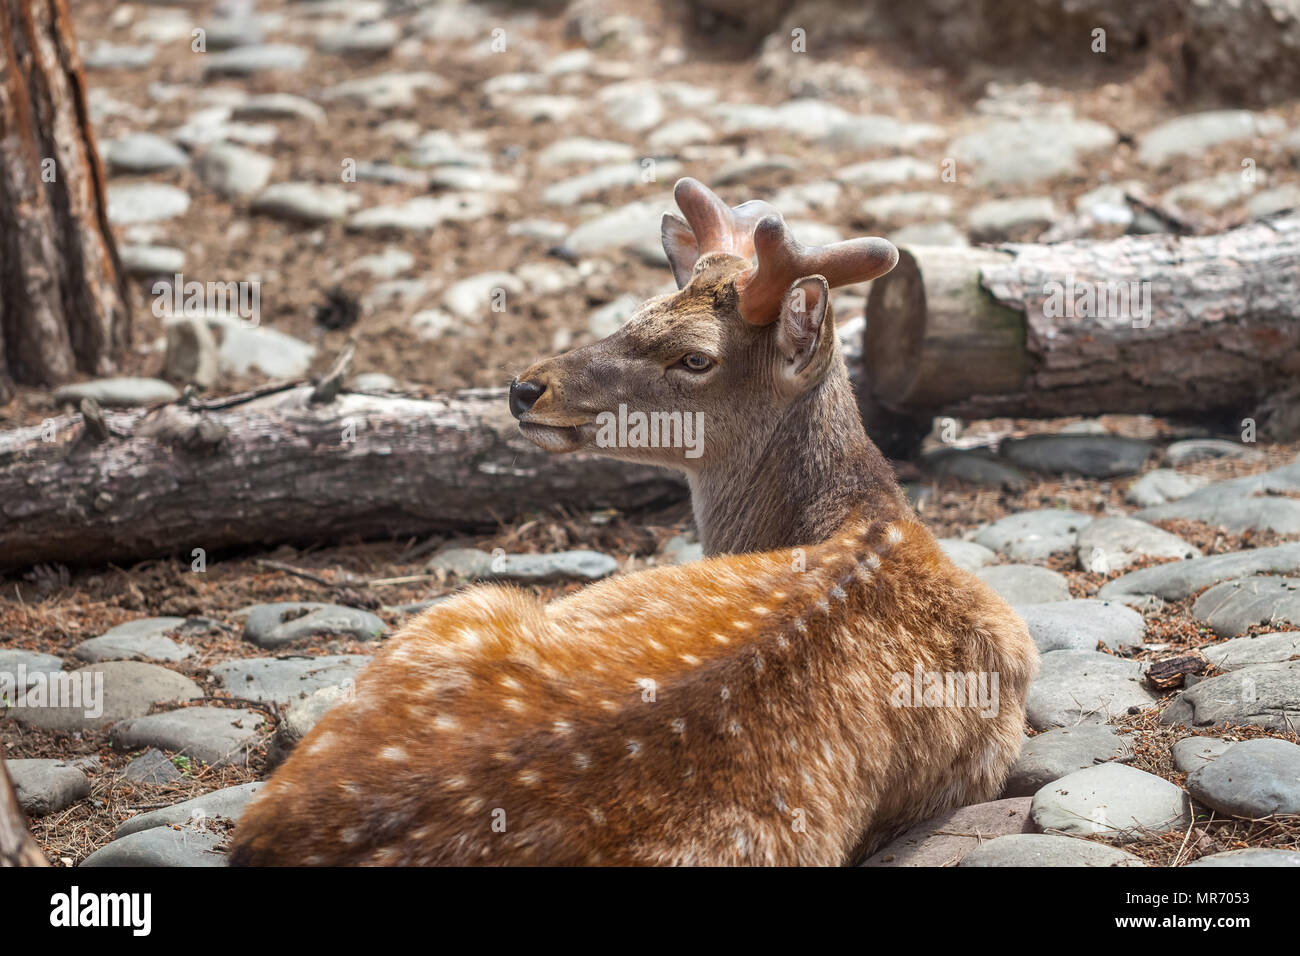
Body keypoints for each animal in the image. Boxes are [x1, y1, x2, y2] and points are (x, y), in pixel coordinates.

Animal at [229, 178, 1037, 866]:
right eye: (638, 309)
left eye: (694, 358)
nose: (525, 388)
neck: (872, 520)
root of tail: (279, 835)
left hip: (459, 609)